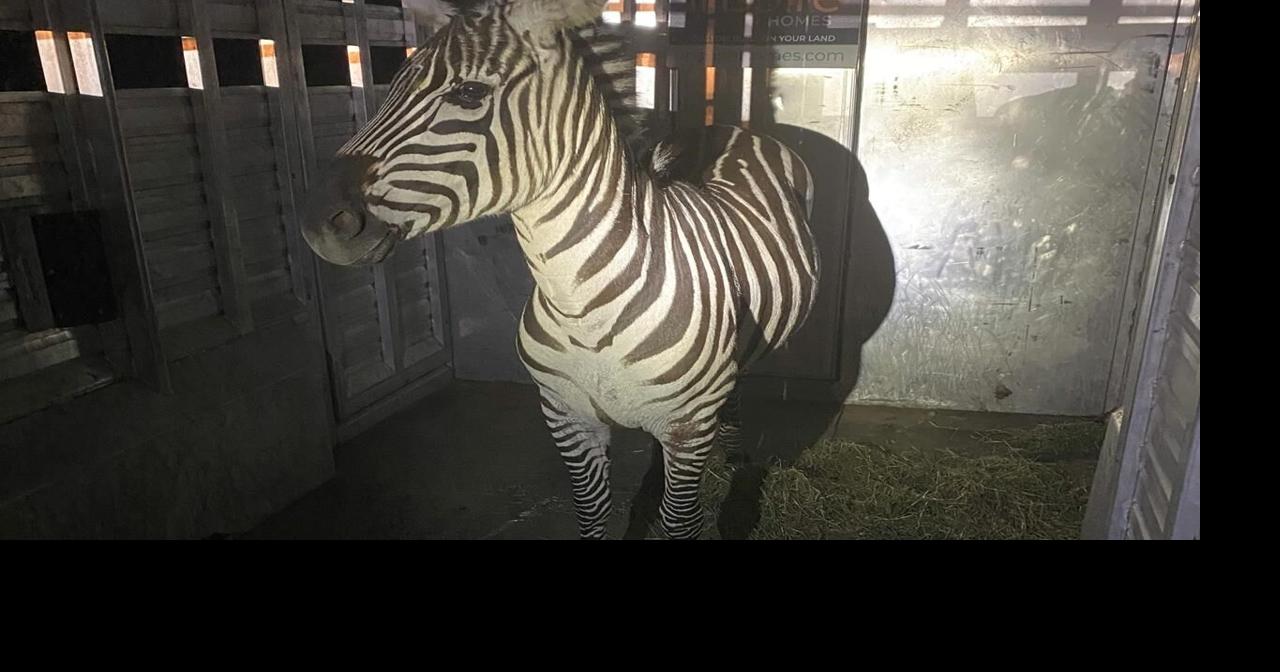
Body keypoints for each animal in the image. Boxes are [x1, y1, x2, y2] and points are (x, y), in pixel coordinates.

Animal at [302, 0, 820, 539]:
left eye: (469, 93)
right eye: (393, 82)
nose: (317, 220)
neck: (583, 305)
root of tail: (729, 127)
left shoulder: (688, 426)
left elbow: (681, 523)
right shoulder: (566, 416)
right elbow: (591, 515)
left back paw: (736, 459)